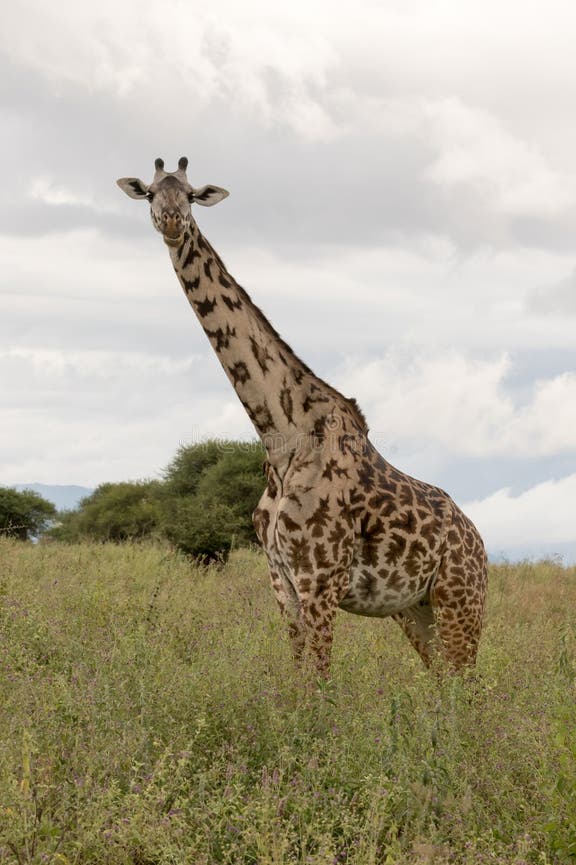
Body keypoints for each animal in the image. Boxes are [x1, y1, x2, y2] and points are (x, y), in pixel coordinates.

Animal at [117, 157, 488, 677]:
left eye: (189, 195)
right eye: (151, 193)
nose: (171, 220)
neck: (280, 435)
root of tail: (480, 543)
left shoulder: (320, 578)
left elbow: (319, 680)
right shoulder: (282, 580)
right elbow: (298, 678)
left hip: (459, 599)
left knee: (469, 683)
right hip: (415, 609)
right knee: (447, 682)